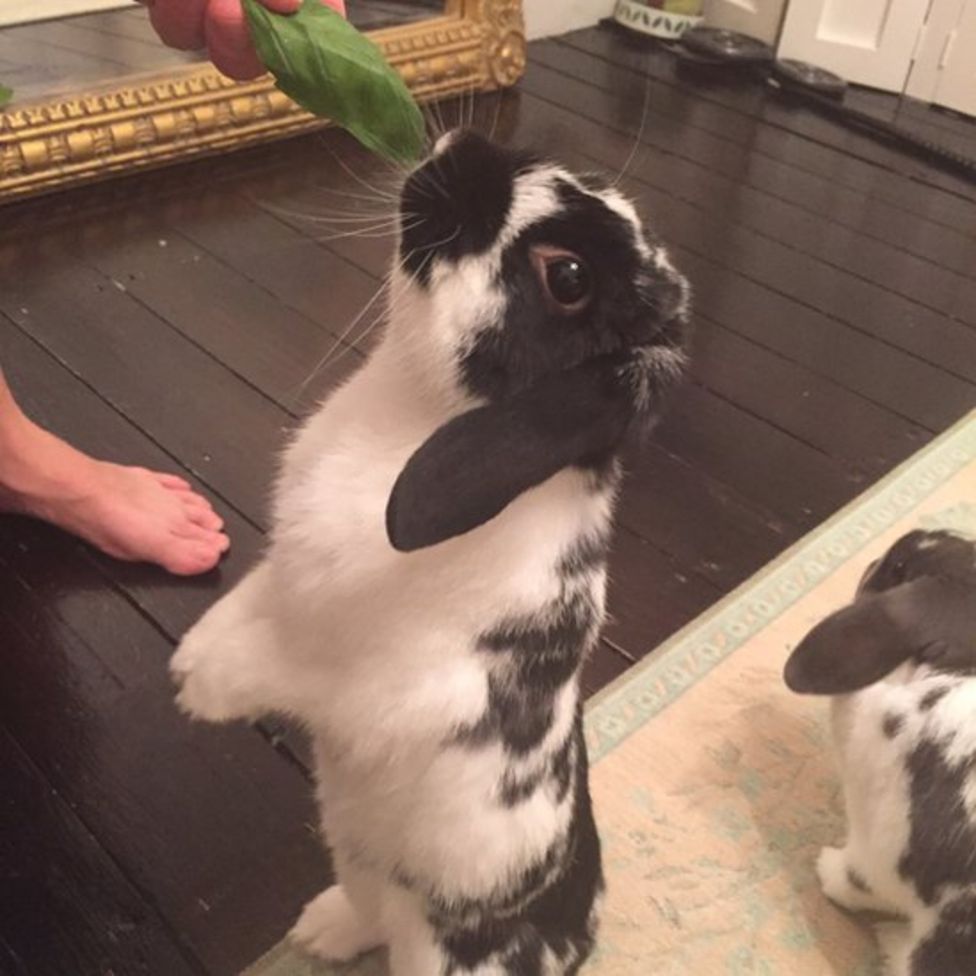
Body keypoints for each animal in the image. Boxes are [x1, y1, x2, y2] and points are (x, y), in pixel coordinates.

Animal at [169, 128, 690, 976]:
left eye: (568, 278)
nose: (467, 146)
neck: (418, 408)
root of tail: (572, 933)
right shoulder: (283, 578)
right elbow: (251, 607)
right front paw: (196, 654)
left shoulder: (388, 688)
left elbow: (295, 674)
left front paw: (199, 687)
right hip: (356, 857)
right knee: (367, 911)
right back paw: (317, 930)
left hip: (437, 940)